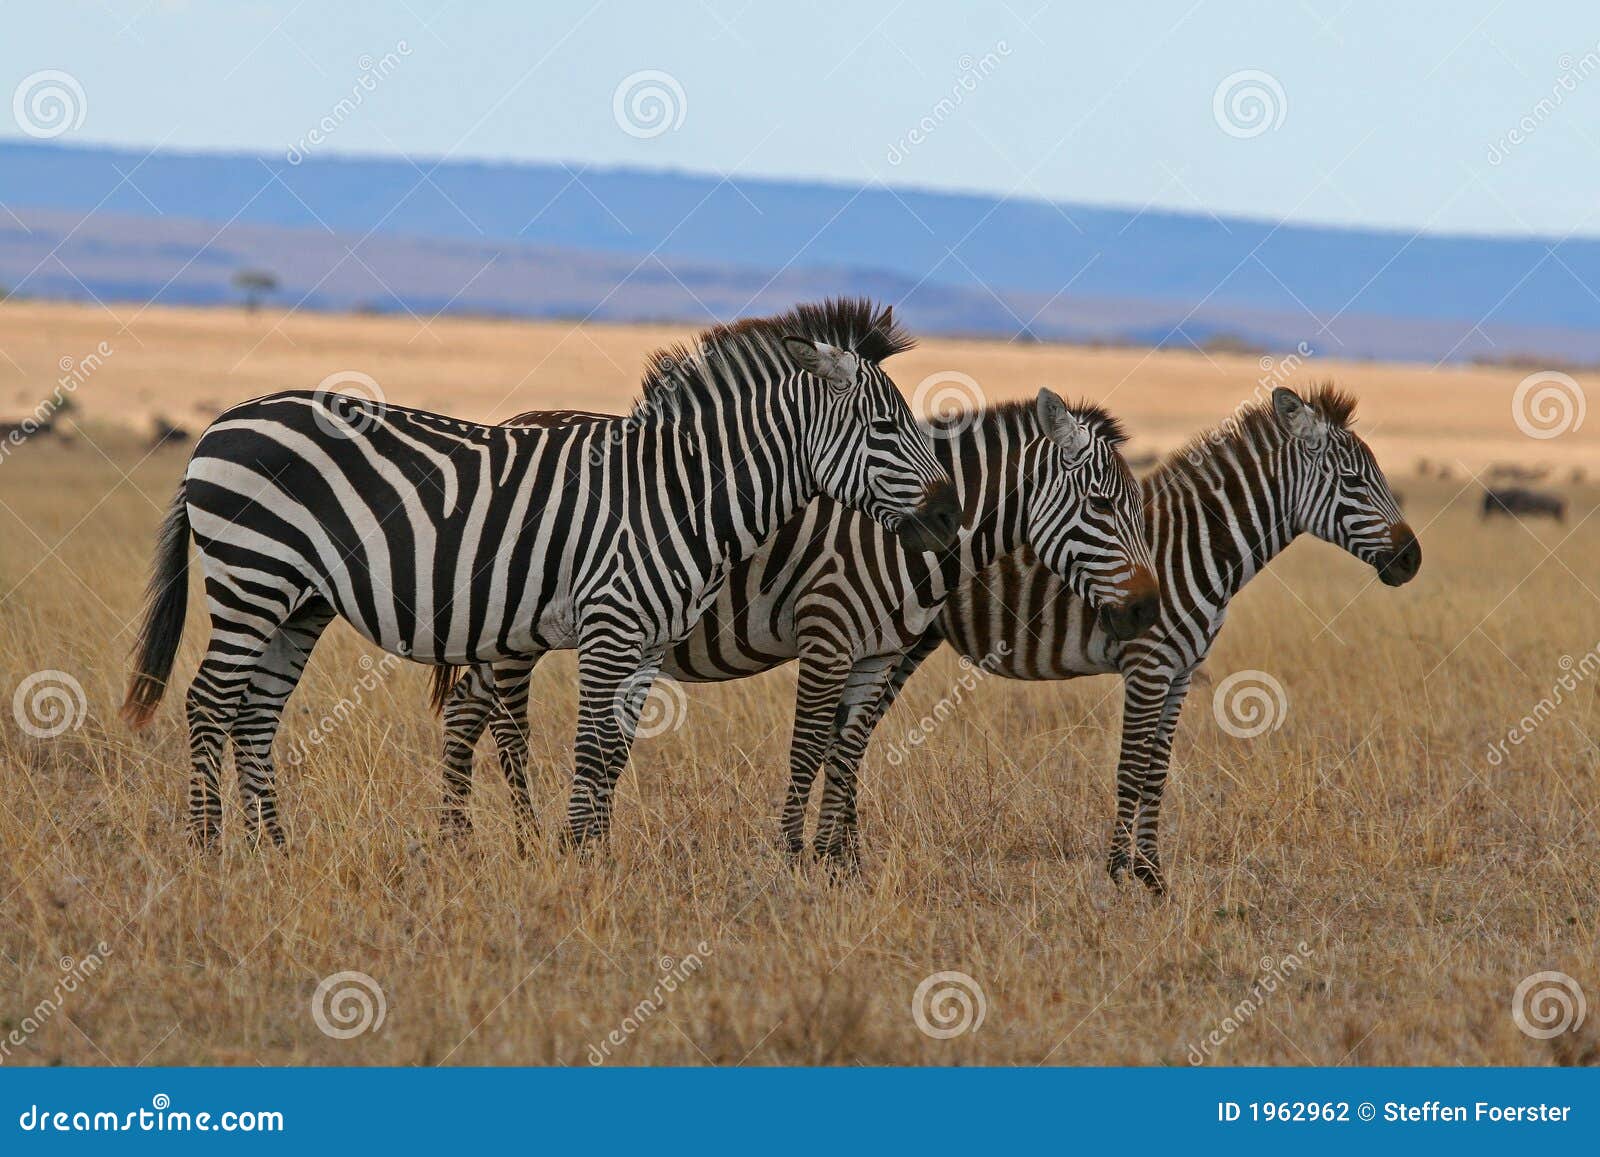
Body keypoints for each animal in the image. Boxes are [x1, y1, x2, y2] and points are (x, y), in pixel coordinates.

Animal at [119, 298, 963, 850]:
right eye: (885, 426)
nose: (952, 517)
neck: (681, 493)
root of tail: (220, 423)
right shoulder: (612, 625)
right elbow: (591, 747)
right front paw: (575, 857)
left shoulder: (648, 641)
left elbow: (615, 751)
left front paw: (594, 854)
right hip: (253, 576)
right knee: (209, 701)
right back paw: (208, 847)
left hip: (299, 601)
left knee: (255, 713)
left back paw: (273, 847)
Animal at [430, 389, 1161, 865]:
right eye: (1102, 505)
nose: (1147, 610)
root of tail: (513, 419)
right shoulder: (829, 632)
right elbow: (810, 747)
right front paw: (793, 853)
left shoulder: (880, 650)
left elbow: (848, 747)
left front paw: (840, 861)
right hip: (515, 630)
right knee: (501, 724)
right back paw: (517, 839)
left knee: (465, 711)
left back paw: (458, 838)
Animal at [803, 383, 1421, 892]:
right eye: (1354, 481)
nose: (1412, 560)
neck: (1197, 548)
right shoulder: (1148, 665)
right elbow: (1131, 769)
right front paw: (1121, 876)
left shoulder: (1180, 673)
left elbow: (1157, 774)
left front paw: (1152, 878)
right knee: (846, 739)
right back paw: (842, 860)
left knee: (850, 738)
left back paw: (846, 858)